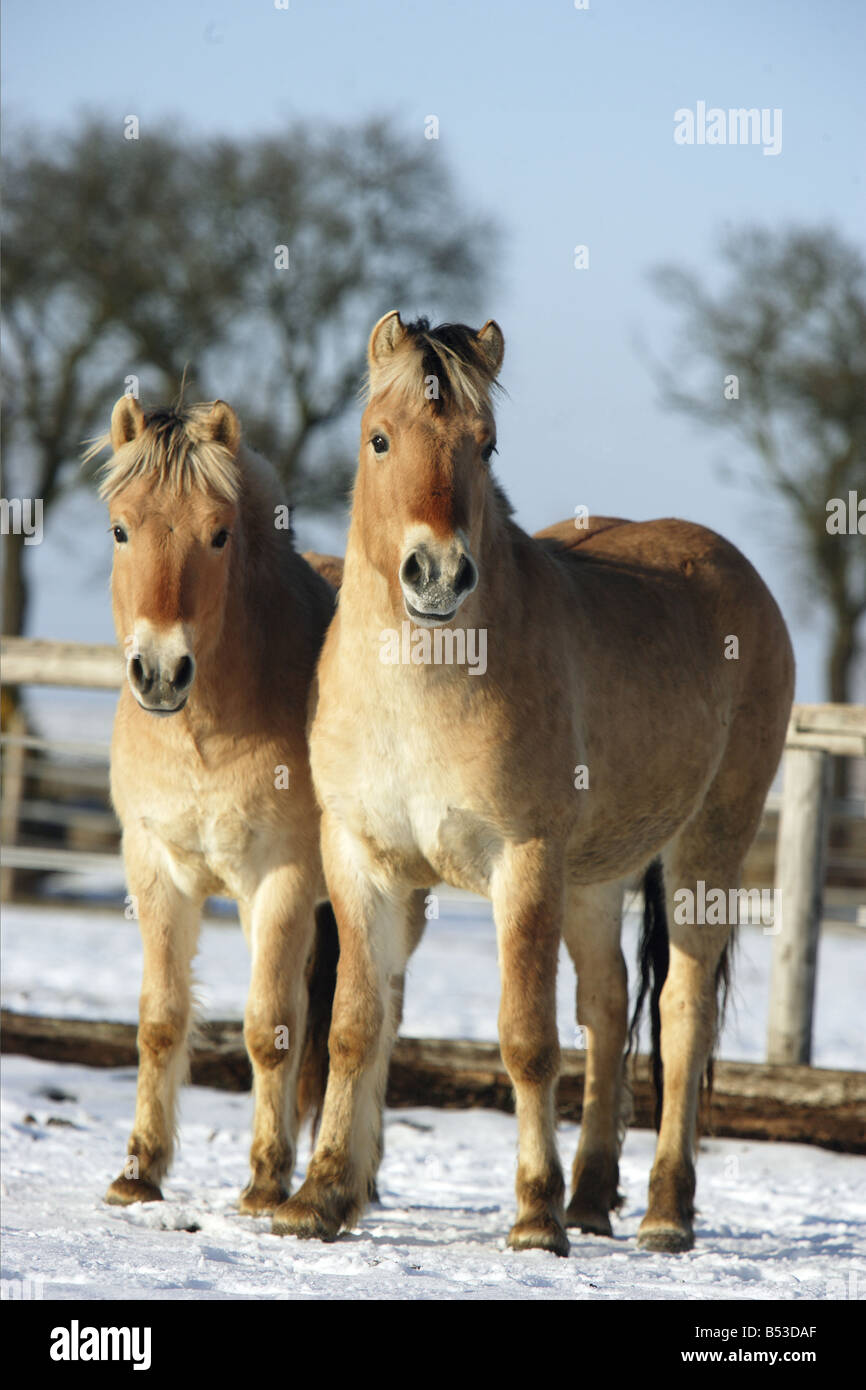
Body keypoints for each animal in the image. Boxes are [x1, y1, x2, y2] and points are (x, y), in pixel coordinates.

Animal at [87, 395, 342, 1214]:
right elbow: (162, 1021)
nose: (162, 672)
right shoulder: (156, 872)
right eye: (120, 528)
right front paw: (139, 1171)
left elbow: (269, 1028)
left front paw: (265, 1181)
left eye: (219, 533)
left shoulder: (282, 881)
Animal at [271, 312, 795, 1256]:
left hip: (705, 852)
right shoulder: (362, 861)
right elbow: (355, 1027)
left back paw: (663, 1211)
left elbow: (526, 1039)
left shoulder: (525, 861)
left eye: (485, 445)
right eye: (380, 439)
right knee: (609, 1005)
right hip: (597, 878)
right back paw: (592, 1197)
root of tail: (741, 578)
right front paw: (319, 1198)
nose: (438, 572)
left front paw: (534, 1215)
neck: (424, 687)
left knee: (682, 1017)